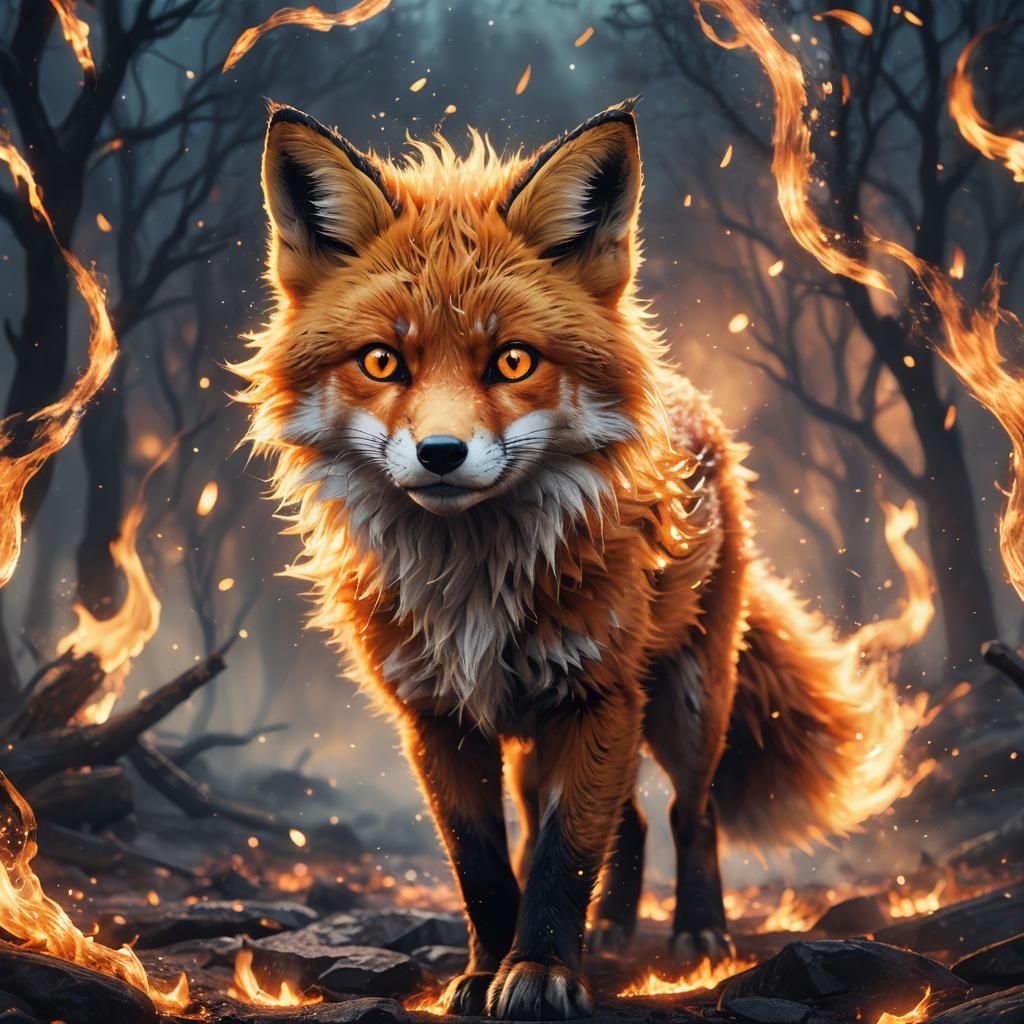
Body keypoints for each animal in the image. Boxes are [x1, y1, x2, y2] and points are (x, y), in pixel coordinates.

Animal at [236, 99, 912, 1020]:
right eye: (383, 361)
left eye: (512, 360)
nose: (441, 455)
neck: (474, 583)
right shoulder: (437, 718)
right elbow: (485, 867)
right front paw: (490, 968)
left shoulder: (596, 694)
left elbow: (562, 858)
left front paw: (544, 971)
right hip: (549, 739)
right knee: (627, 820)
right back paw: (615, 933)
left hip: (685, 704)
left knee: (689, 814)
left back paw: (698, 934)